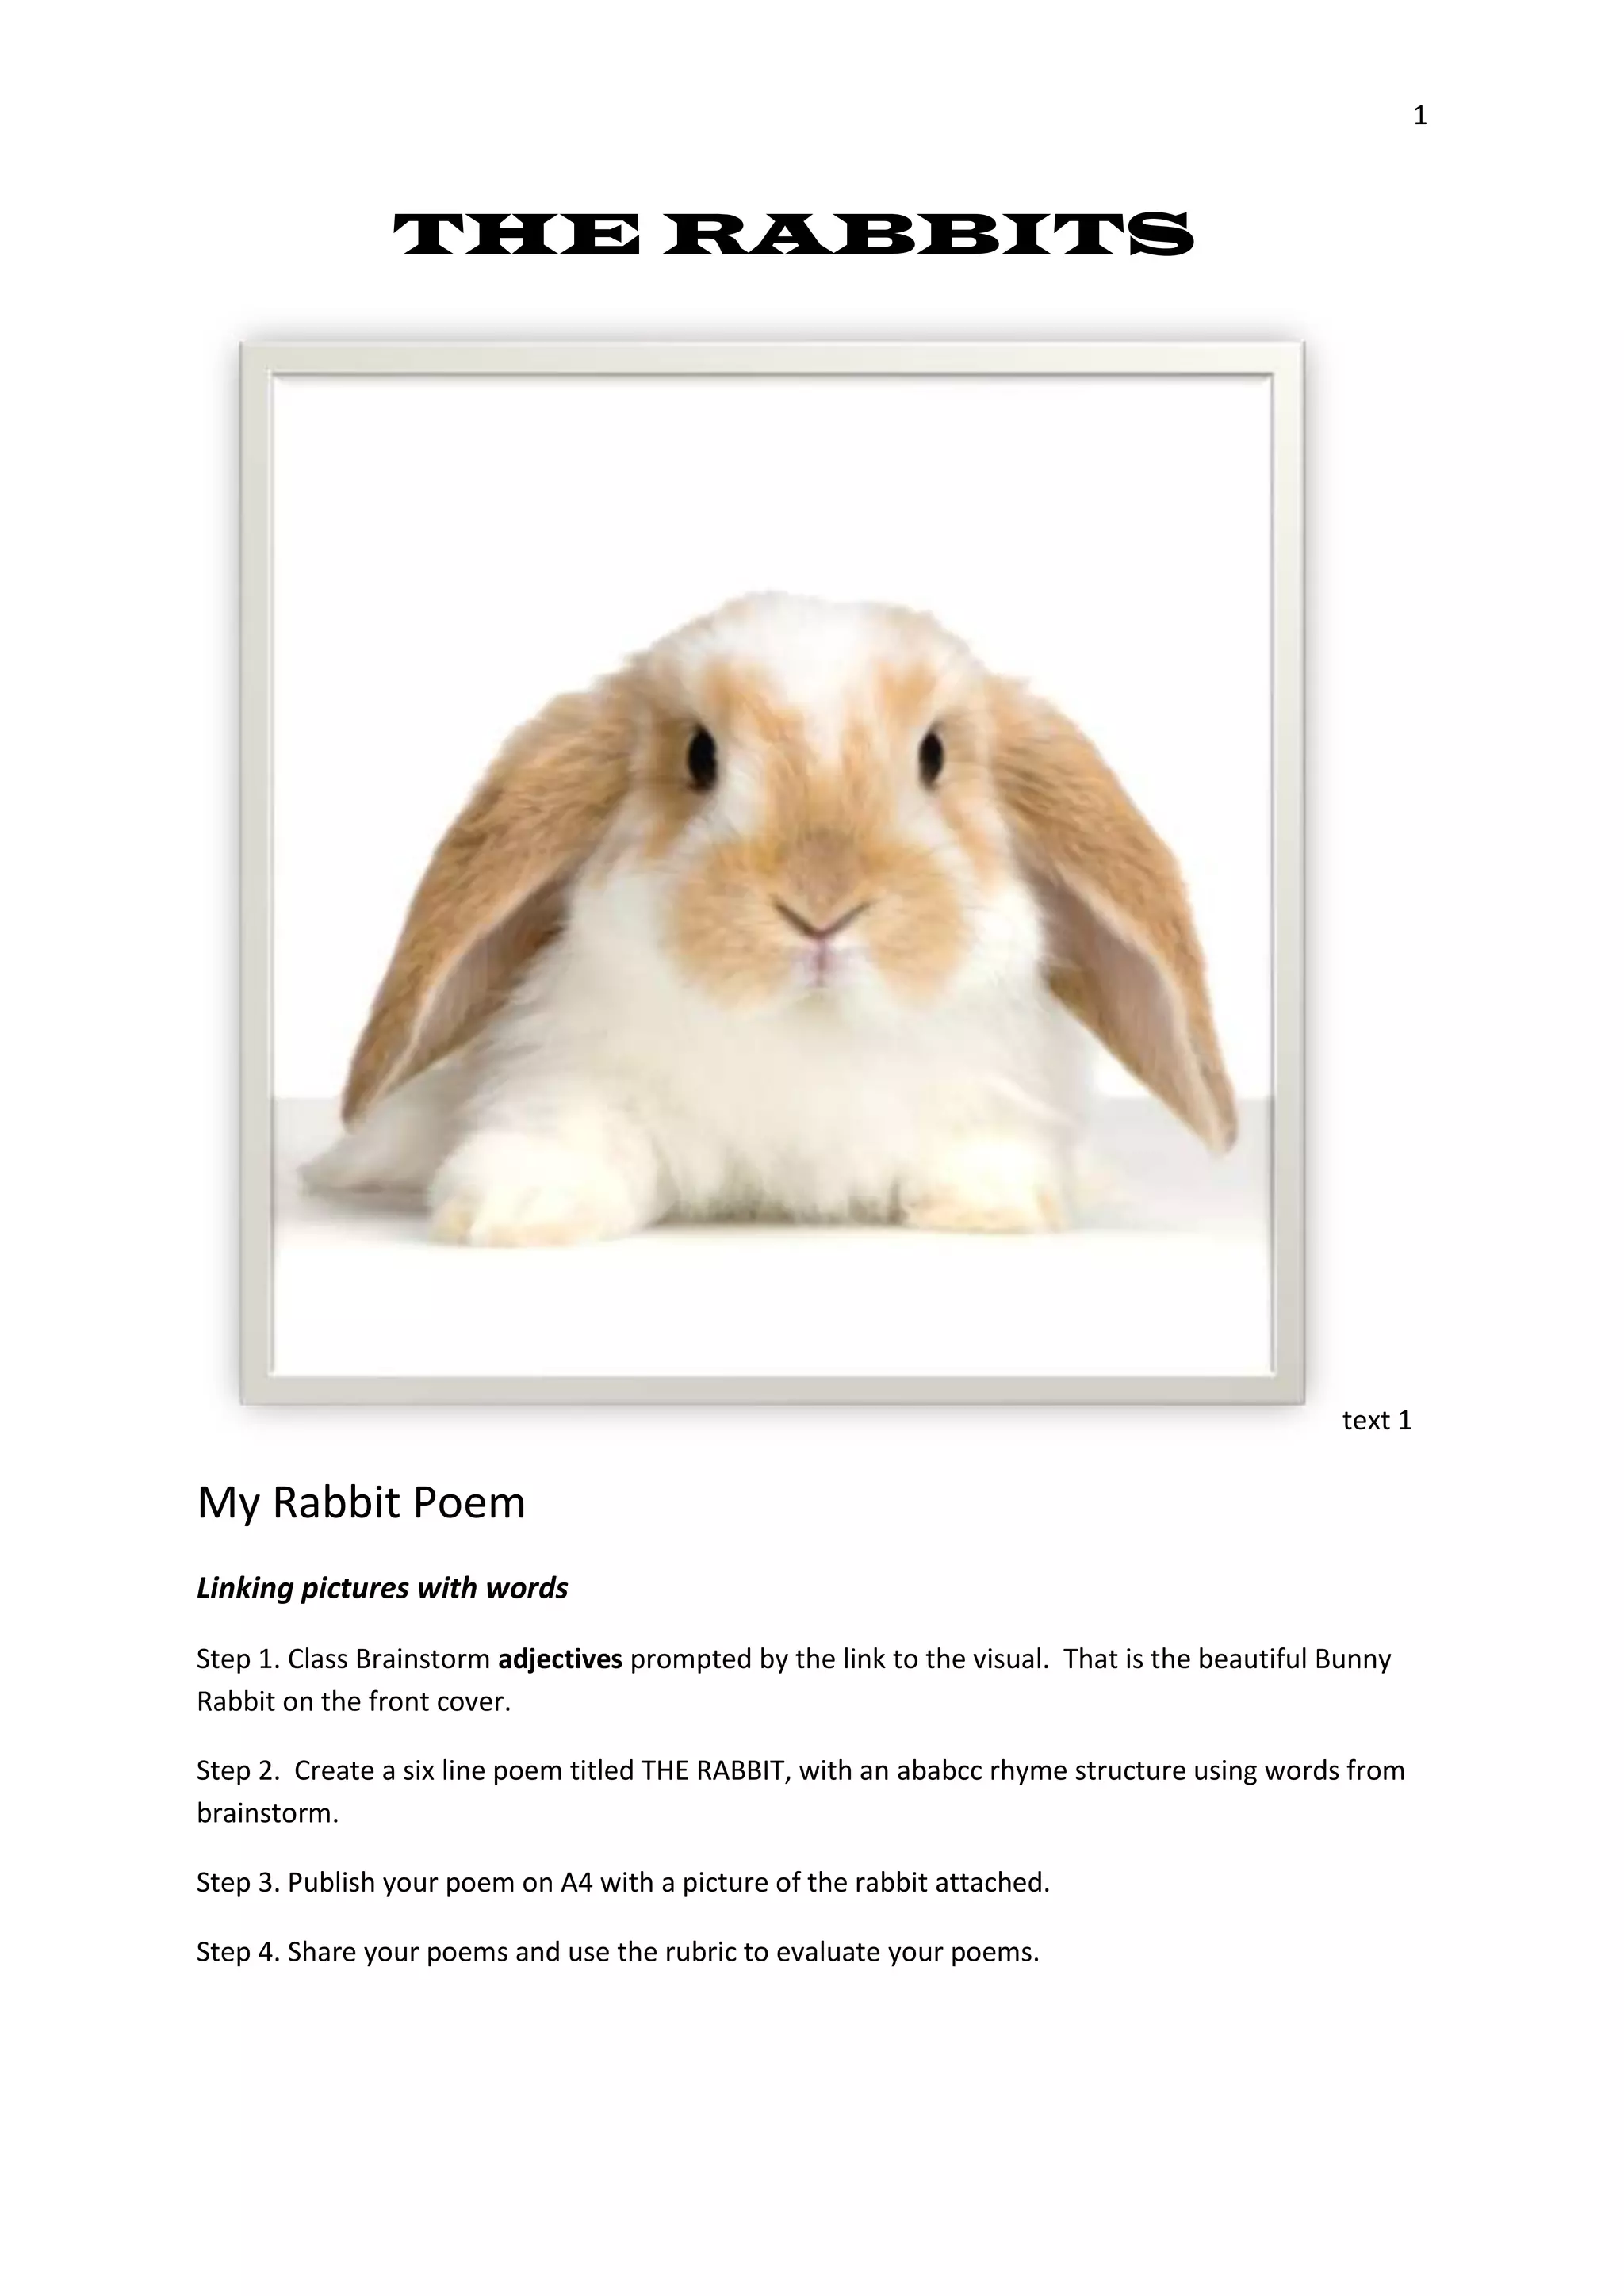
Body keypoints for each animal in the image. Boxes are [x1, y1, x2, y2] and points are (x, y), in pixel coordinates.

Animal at [305, 593, 1236, 1244]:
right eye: (699, 755)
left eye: (933, 754)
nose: (821, 906)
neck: (807, 1030)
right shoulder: (567, 1076)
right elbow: (560, 1138)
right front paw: (518, 1210)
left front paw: (990, 1206)